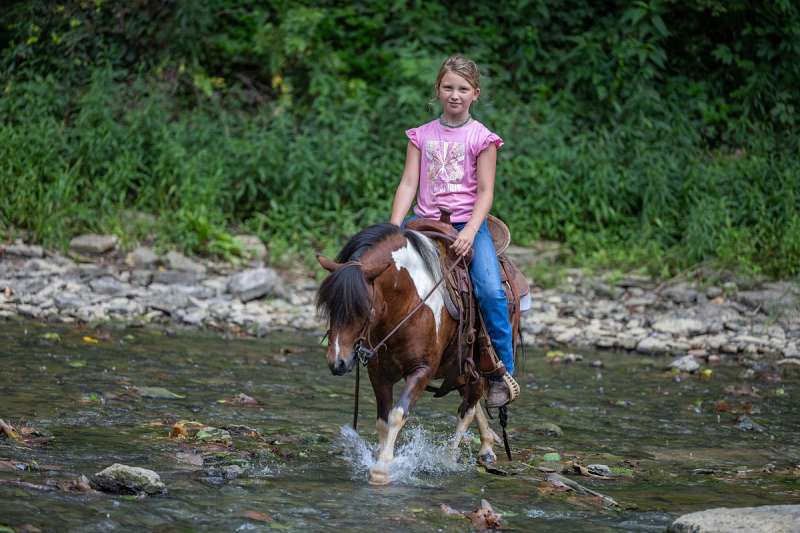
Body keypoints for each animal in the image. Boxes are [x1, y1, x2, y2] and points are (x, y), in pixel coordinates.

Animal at [316, 222, 499, 485]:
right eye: (330, 306)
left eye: (363, 309)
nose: (337, 362)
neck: (407, 304)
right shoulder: (378, 372)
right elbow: (383, 422)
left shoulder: (422, 371)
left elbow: (397, 415)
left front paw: (382, 469)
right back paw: (487, 446)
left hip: (475, 365)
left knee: (469, 408)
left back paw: (450, 458)